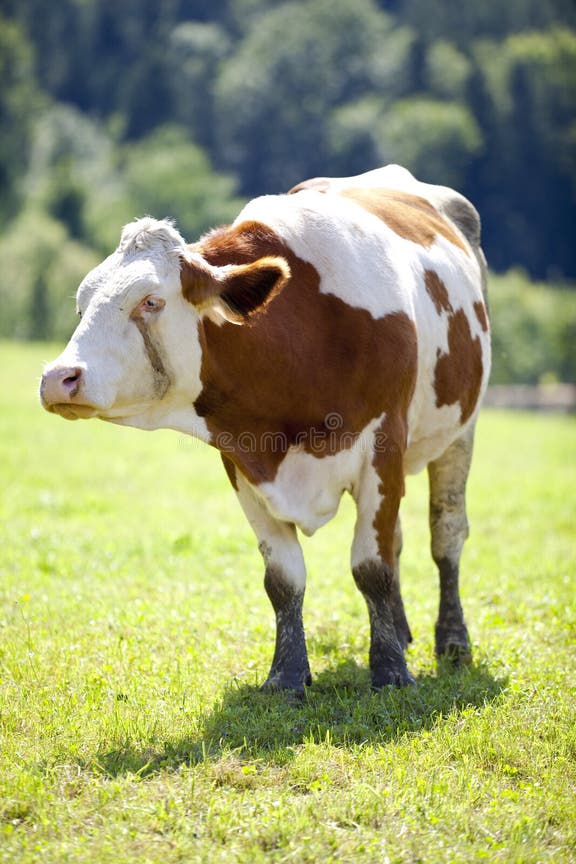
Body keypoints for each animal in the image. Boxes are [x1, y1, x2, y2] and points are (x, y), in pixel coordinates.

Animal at [40, 165, 491, 692]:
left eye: (150, 301)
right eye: (82, 305)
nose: (58, 377)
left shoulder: (383, 447)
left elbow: (372, 566)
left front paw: (390, 671)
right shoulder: (243, 462)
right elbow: (284, 578)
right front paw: (288, 675)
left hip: (461, 431)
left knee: (446, 532)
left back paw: (452, 639)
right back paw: (398, 630)